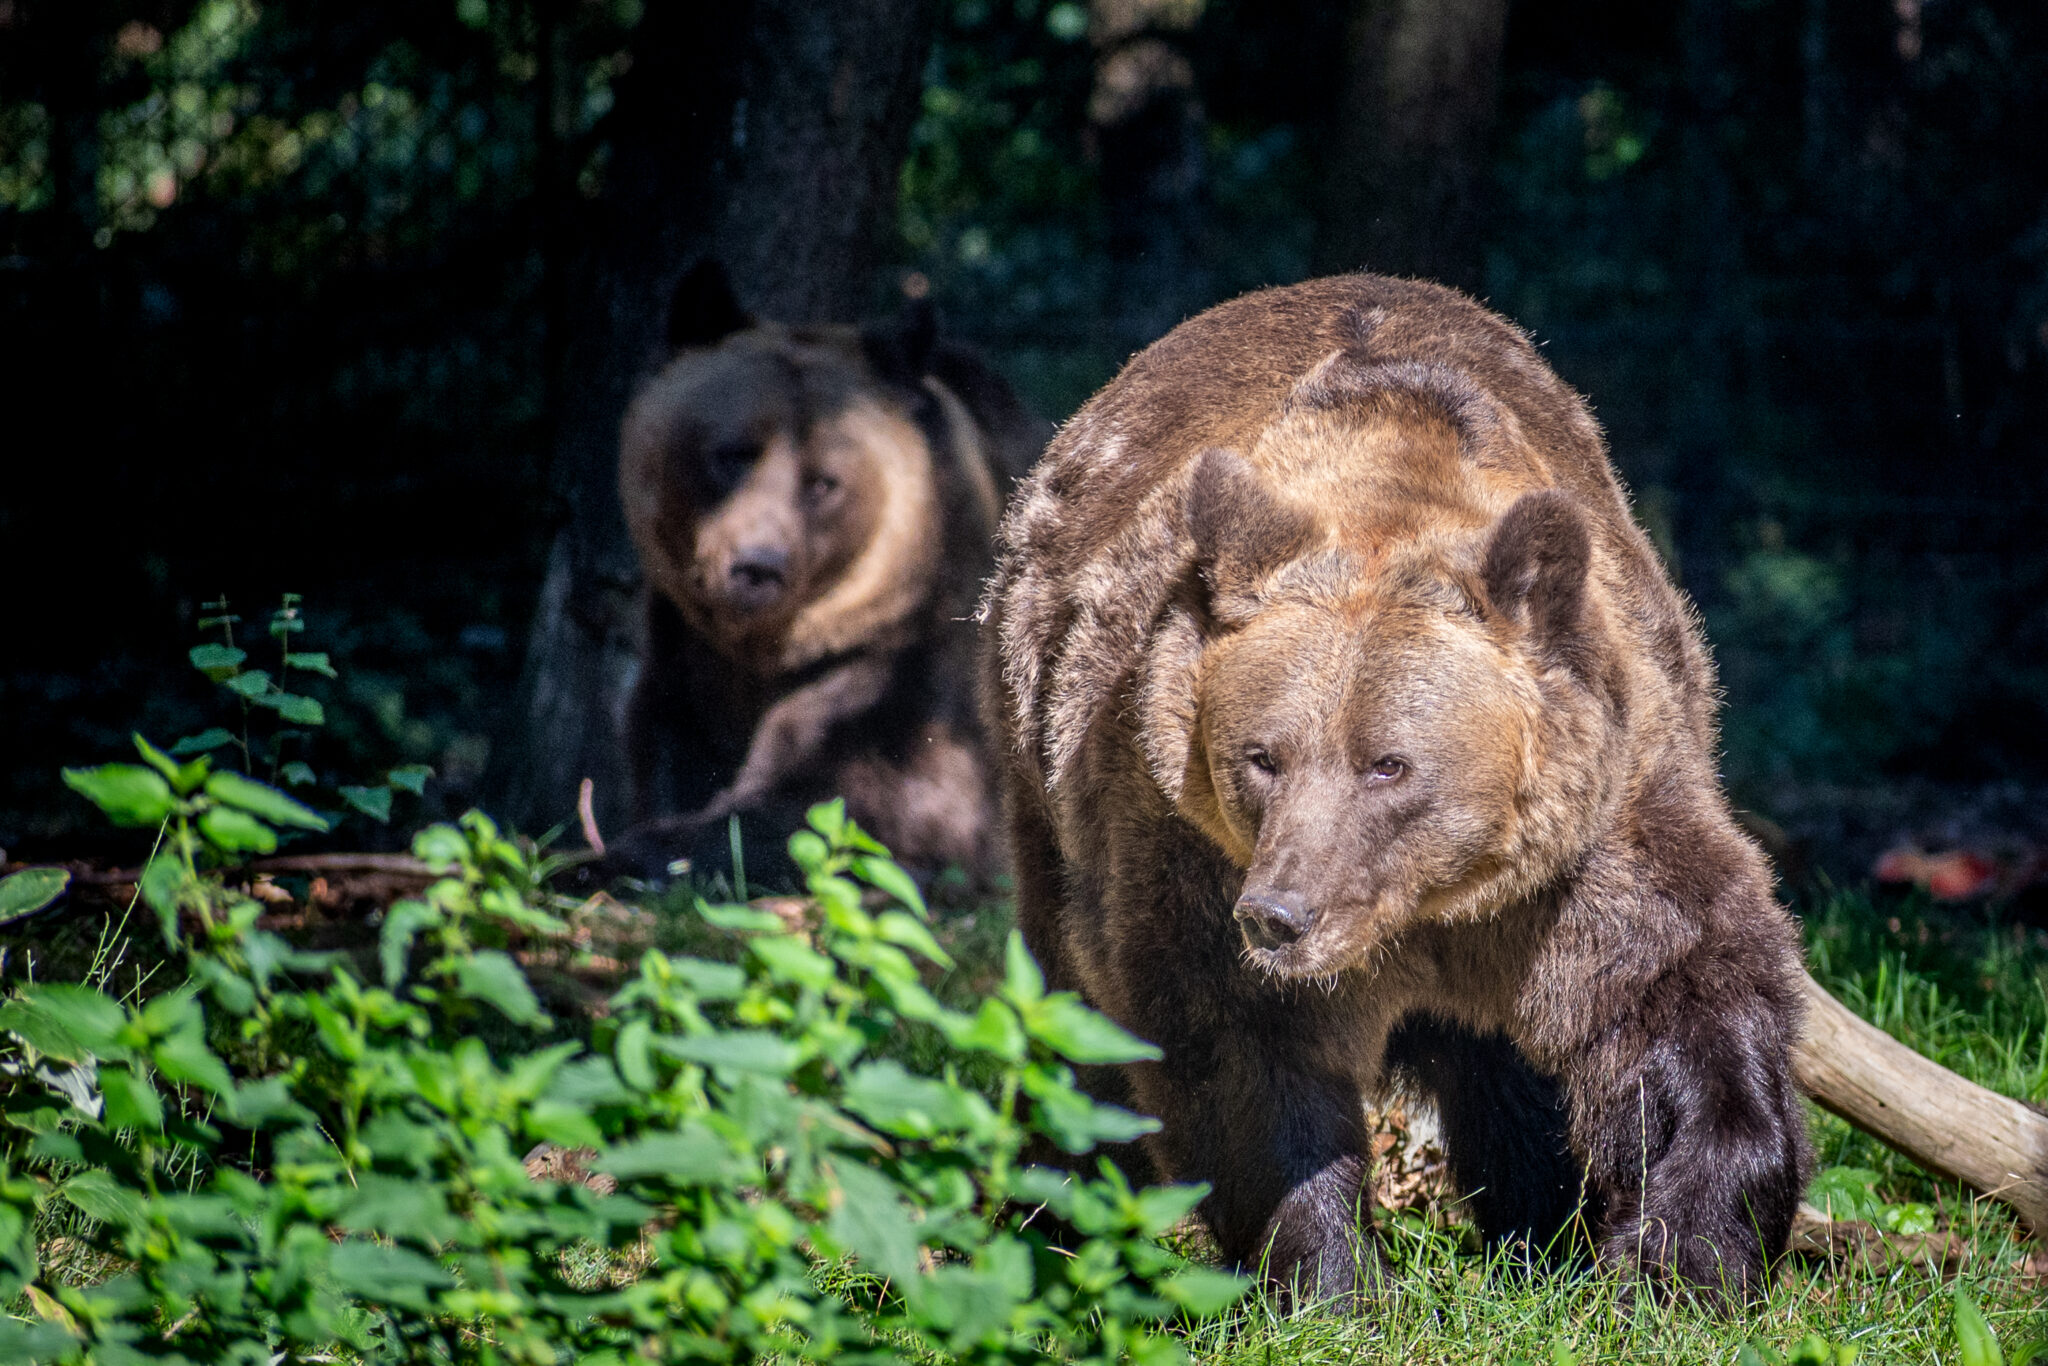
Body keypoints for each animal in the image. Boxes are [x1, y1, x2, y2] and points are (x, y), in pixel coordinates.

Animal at [612, 261, 1048, 885]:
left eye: (823, 482)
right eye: (732, 453)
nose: (757, 567)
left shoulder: (906, 669)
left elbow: (846, 808)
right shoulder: (684, 663)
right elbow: (665, 751)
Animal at [979, 274, 1809, 1304]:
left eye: (1389, 763)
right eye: (1263, 755)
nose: (1280, 915)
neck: (1427, 900)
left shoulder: (1593, 838)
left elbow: (1684, 999)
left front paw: (1678, 1258)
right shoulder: (1184, 844)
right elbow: (1241, 1054)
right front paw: (1329, 1278)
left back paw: (1540, 1234)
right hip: (1044, 790)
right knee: (1070, 1030)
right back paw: (1052, 1222)